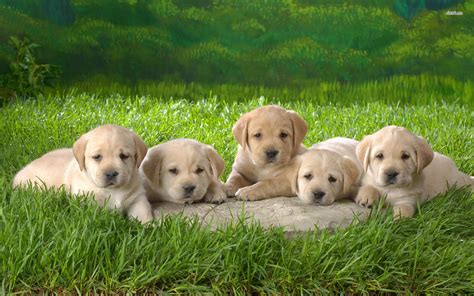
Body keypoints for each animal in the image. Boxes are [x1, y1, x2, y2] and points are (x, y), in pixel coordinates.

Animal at [12, 123, 153, 223]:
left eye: (124, 156)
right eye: (97, 157)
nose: (111, 173)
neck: (112, 190)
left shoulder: (138, 199)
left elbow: (144, 213)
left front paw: (150, 227)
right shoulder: (87, 202)